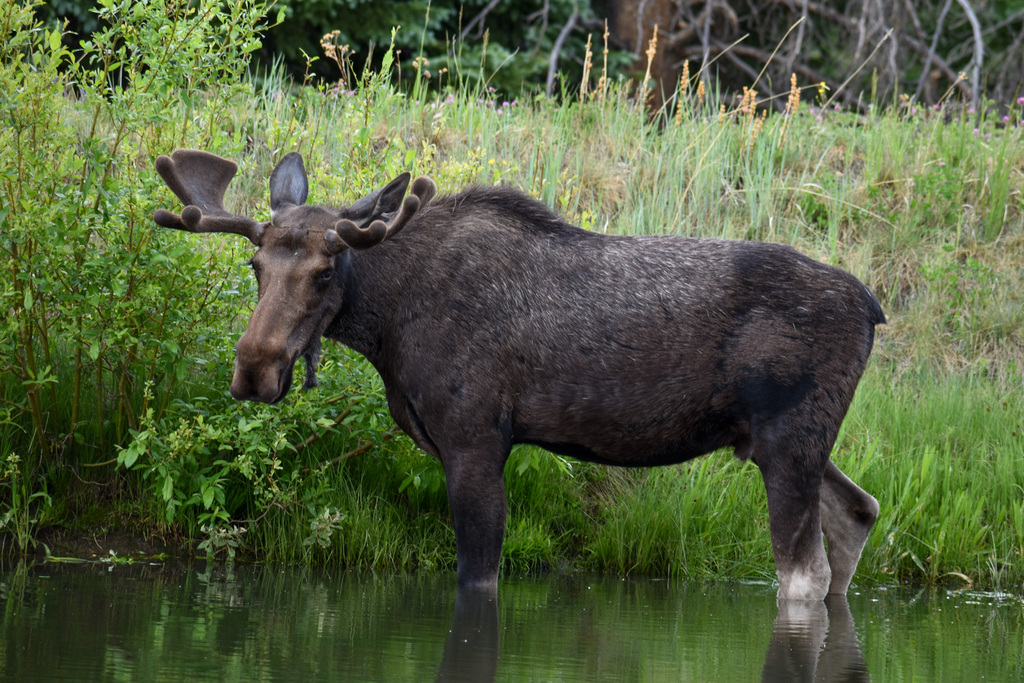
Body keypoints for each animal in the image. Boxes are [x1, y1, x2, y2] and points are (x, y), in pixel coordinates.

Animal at [153, 149, 884, 601]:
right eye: (255, 266)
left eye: (326, 272)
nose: (255, 369)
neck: (387, 326)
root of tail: (873, 309)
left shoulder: (476, 438)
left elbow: (477, 575)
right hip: (778, 440)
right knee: (858, 511)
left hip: (790, 441)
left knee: (804, 573)